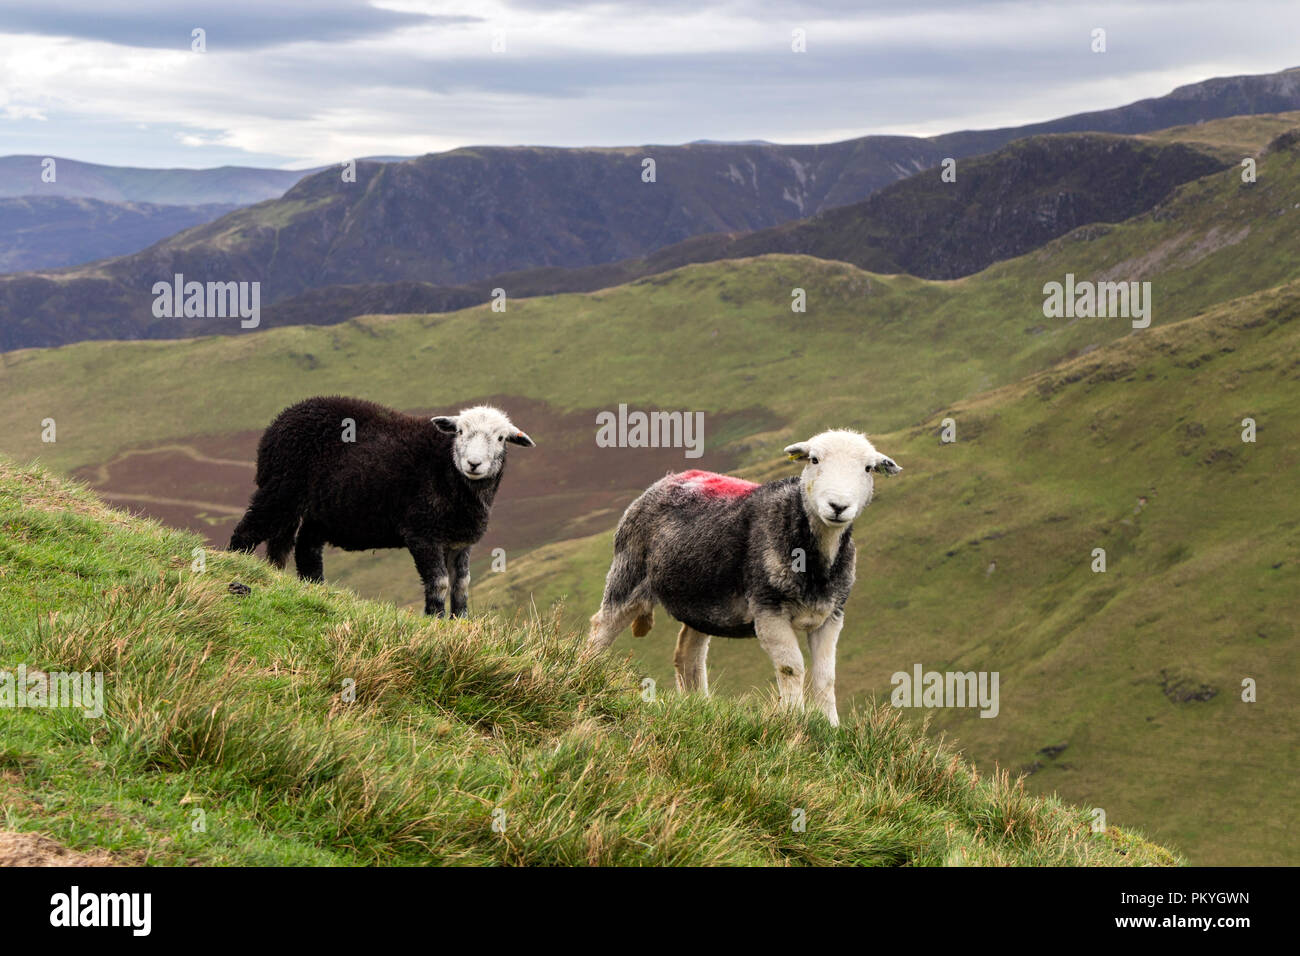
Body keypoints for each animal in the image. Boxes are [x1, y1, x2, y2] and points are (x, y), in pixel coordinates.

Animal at [228, 396, 534, 616]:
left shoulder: (459, 542)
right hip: (282, 489)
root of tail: (278, 422)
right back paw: (232, 565)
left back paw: (316, 589)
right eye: (459, 431)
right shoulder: (422, 533)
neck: (447, 469)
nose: (473, 464)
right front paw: (435, 620)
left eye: (500, 438)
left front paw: (460, 622)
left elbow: (461, 585)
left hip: (319, 509)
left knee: (306, 549)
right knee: (247, 531)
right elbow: (439, 583)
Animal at [587, 430, 900, 726]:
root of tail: (669, 479)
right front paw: (793, 720)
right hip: (629, 572)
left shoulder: (831, 615)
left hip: (703, 601)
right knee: (603, 627)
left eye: (868, 468)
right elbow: (792, 667)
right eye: (814, 459)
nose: (838, 506)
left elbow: (826, 676)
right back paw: (587, 675)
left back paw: (700, 706)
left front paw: (831, 727)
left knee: (688, 652)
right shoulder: (769, 610)